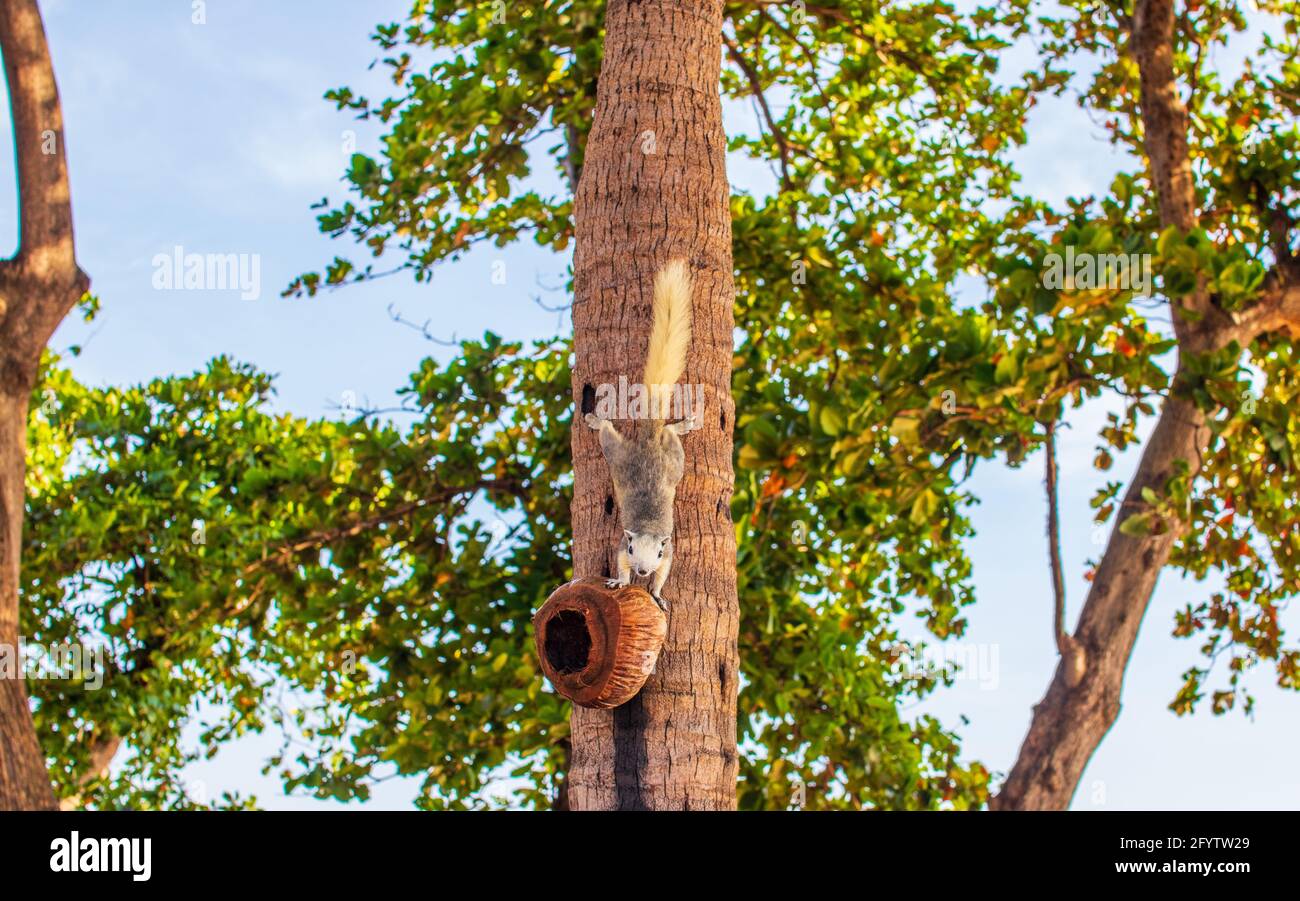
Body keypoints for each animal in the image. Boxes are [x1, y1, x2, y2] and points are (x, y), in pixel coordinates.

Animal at [584, 259, 697, 612]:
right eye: (634, 550)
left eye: (658, 551)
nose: (643, 571)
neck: (646, 529)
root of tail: (648, 439)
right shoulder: (623, 544)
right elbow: (619, 565)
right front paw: (619, 581)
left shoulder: (669, 554)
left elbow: (664, 576)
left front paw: (657, 595)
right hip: (625, 456)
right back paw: (596, 419)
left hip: (668, 461)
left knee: (666, 432)